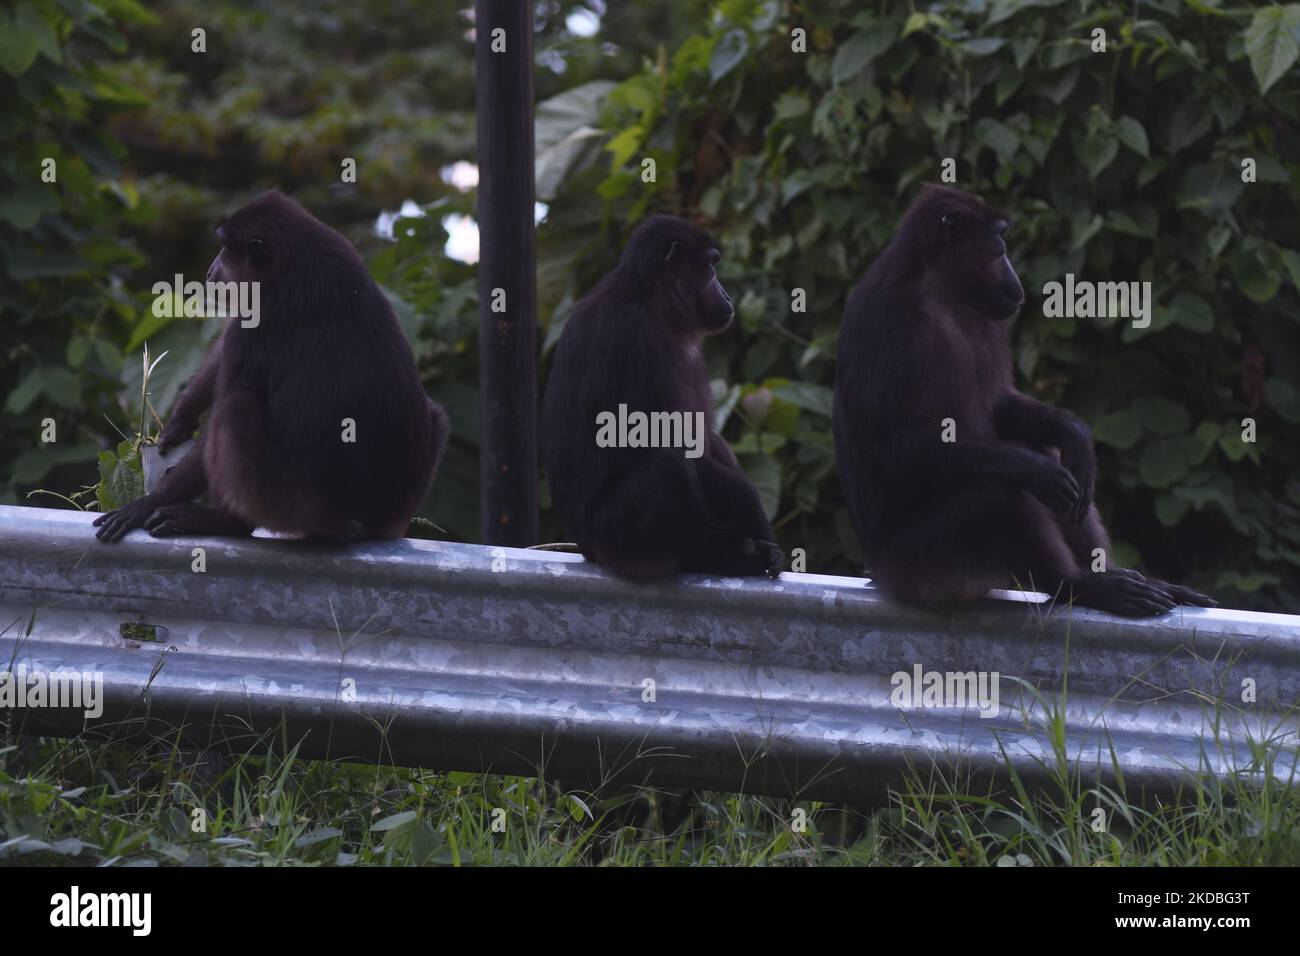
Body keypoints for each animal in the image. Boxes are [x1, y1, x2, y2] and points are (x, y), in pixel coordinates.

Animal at [94, 190, 448, 544]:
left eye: (226, 251)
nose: (210, 270)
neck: (300, 262)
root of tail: (361, 520)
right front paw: (183, 413)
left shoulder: (258, 317)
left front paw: (147, 503)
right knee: (436, 414)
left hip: (286, 502)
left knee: (236, 404)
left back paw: (227, 522)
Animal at [540, 215, 783, 580]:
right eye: (711, 268)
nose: (726, 295)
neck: (649, 302)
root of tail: (586, 548)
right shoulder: (636, 339)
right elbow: (668, 442)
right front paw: (750, 509)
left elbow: (705, 439)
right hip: (612, 534)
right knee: (670, 467)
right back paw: (710, 557)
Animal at [832, 185, 1215, 617]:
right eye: (1000, 249)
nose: (1017, 286)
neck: (939, 293)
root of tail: (879, 573)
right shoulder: (895, 325)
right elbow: (896, 450)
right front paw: (1035, 470)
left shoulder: (986, 321)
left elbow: (1001, 408)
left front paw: (1074, 434)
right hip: (926, 569)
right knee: (999, 493)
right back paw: (1078, 584)